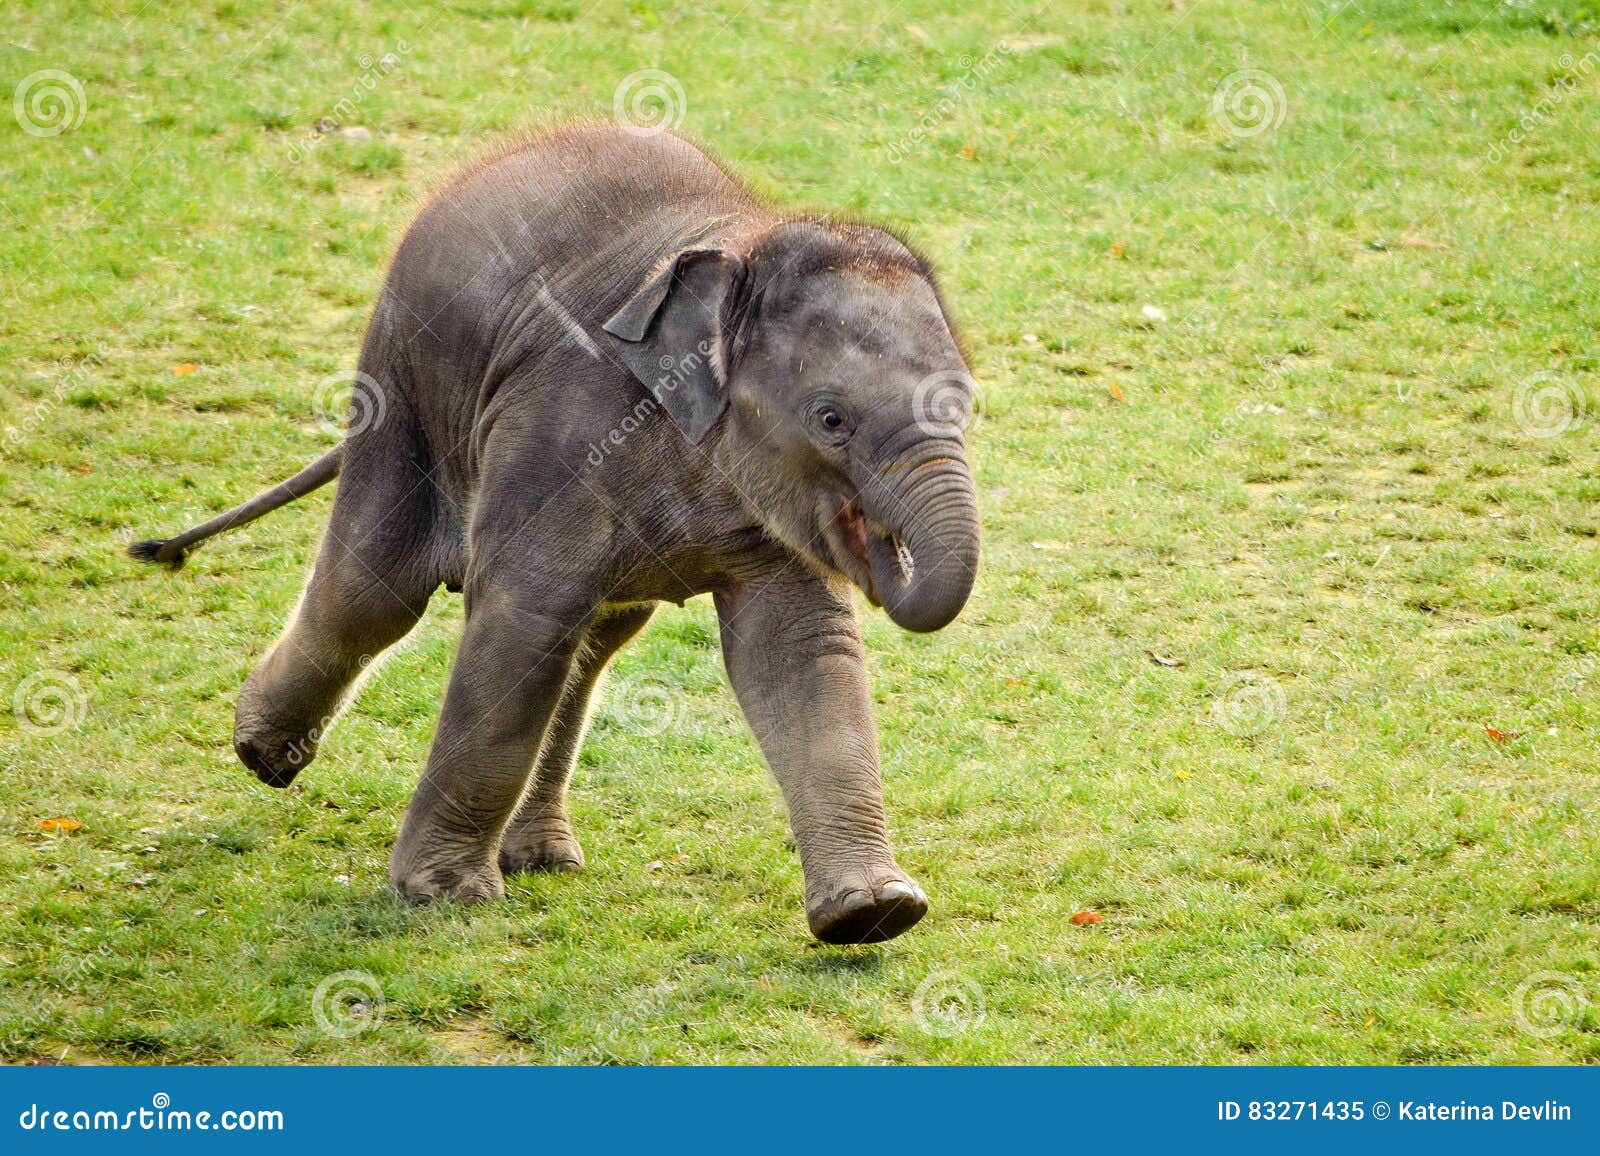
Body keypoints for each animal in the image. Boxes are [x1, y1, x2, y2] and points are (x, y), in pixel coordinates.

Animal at [130, 122, 981, 944]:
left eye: (967, 403)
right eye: (831, 419)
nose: (884, 551)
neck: (743, 242)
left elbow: (802, 647)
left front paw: (874, 915)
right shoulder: (560, 432)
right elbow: (521, 618)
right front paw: (444, 898)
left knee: (593, 639)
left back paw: (539, 856)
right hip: (403, 387)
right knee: (375, 590)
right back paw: (265, 756)